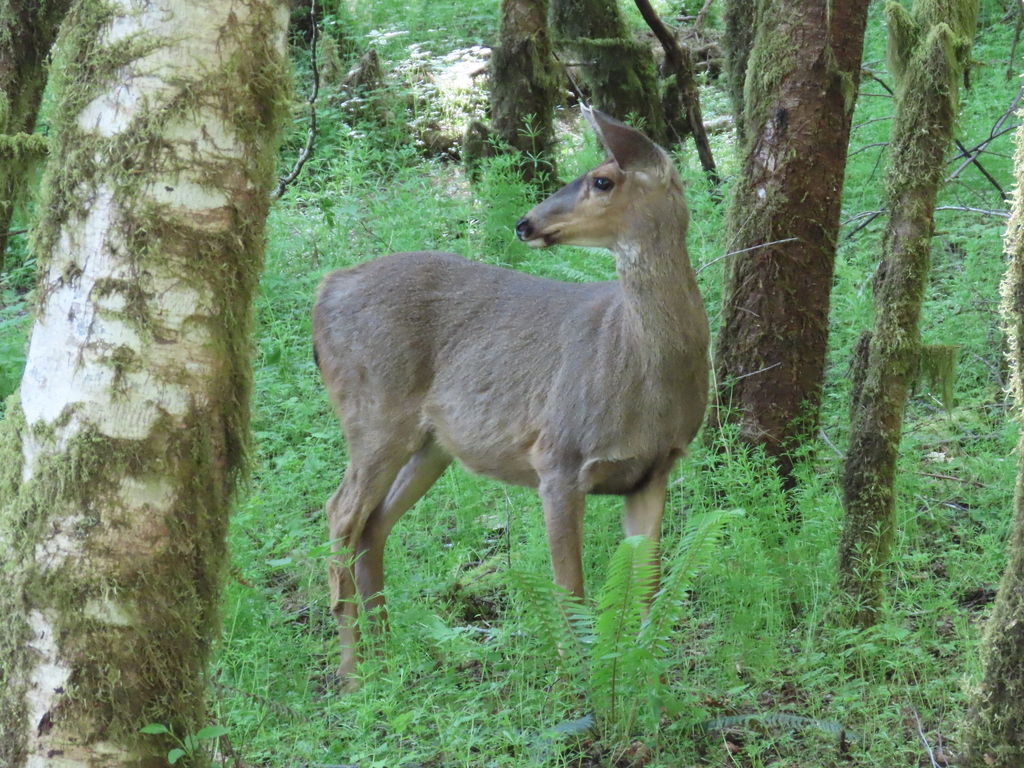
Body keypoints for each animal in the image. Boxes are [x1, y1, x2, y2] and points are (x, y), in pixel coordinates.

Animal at [312, 107, 710, 688]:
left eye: (602, 180)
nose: (525, 223)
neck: (643, 370)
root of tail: (324, 291)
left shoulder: (655, 468)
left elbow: (647, 589)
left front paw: (645, 681)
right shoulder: (558, 456)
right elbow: (571, 592)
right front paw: (577, 685)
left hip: (431, 444)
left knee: (372, 524)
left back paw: (388, 658)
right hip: (373, 412)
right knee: (340, 514)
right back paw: (353, 672)